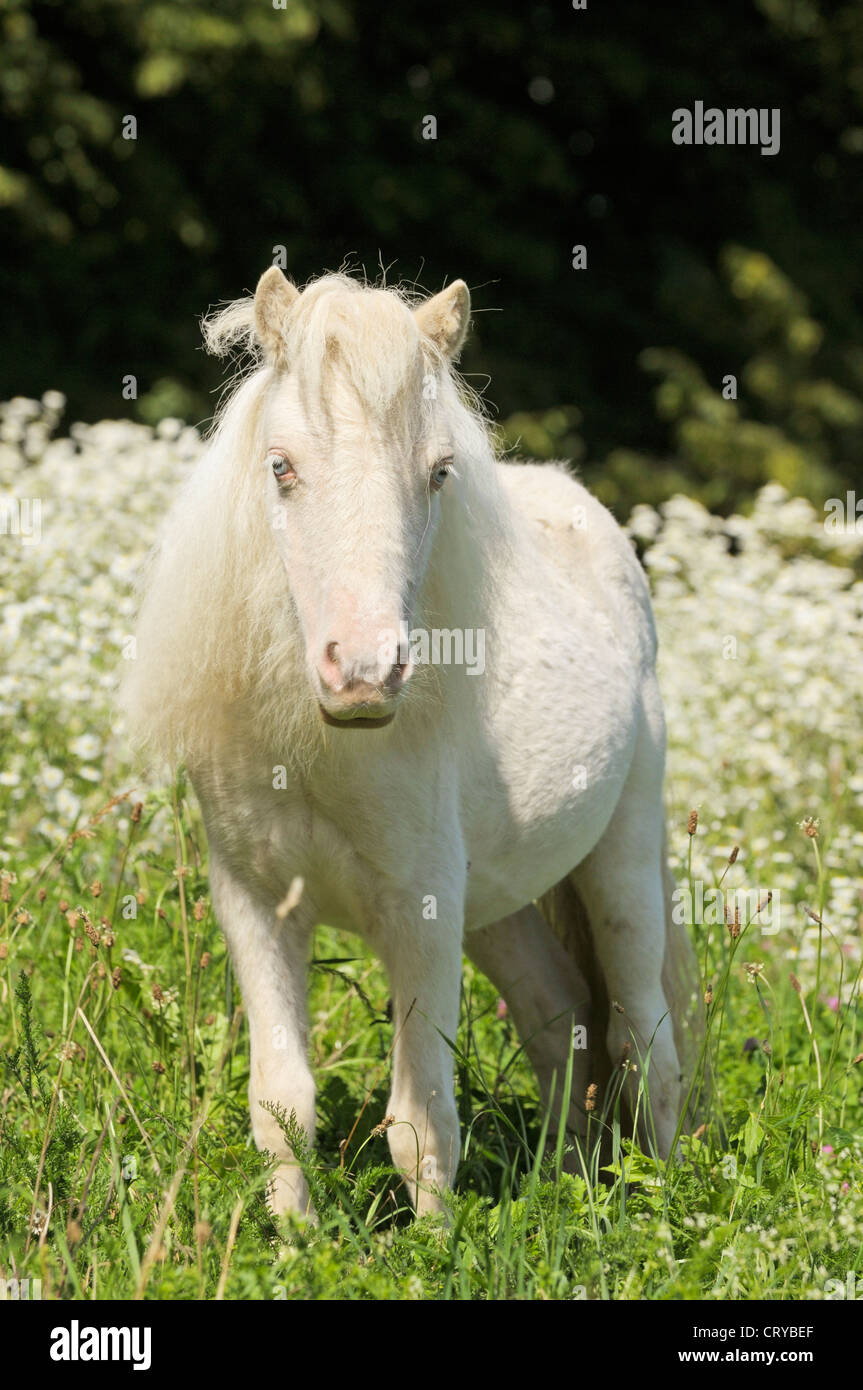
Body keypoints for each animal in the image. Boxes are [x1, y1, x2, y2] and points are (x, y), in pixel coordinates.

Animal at [121, 266, 700, 1220]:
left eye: (437, 473)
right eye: (280, 466)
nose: (362, 673)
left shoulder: (421, 911)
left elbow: (420, 1123)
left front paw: (435, 1242)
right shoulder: (255, 905)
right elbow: (282, 1103)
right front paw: (297, 1237)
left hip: (620, 865)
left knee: (640, 1040)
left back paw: (656, 1206)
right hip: (498, 908)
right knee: (560, 1021)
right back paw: (566, 1186)